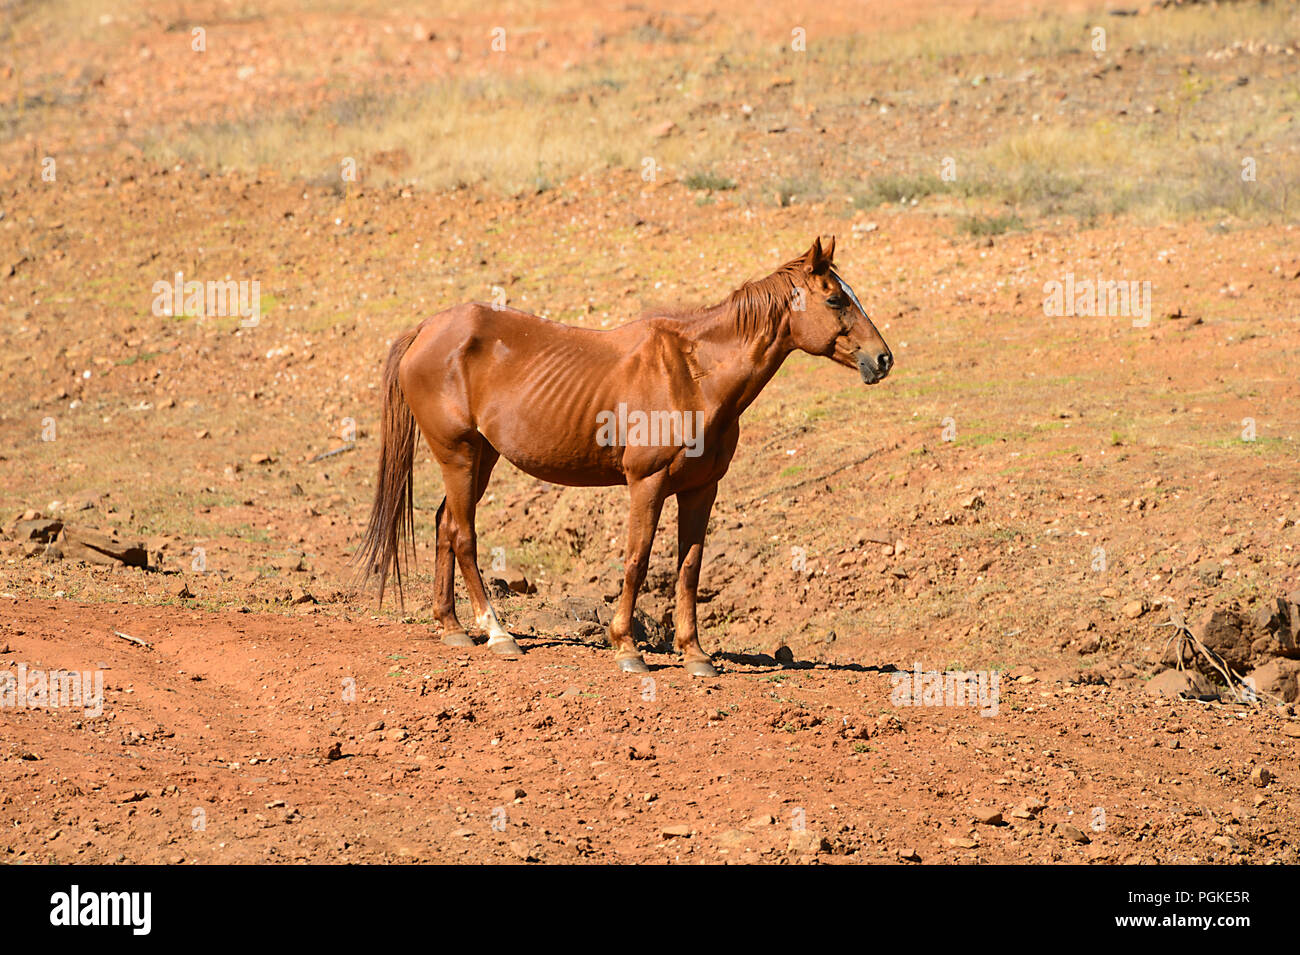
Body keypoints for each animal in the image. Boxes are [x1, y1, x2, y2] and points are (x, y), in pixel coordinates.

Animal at [355, 236, 893, 676]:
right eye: (835, 298)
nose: (883, 359)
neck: (692, 375)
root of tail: (427, 329)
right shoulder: (647, 482)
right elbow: (637, 558)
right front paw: (627, 648)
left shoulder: (702, 489)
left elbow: (689, 568)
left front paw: (695, 654)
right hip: (460, 454)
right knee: (463, 535)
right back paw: (498, 633)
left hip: (481, 458)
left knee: (446, 526)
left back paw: (451, 627)